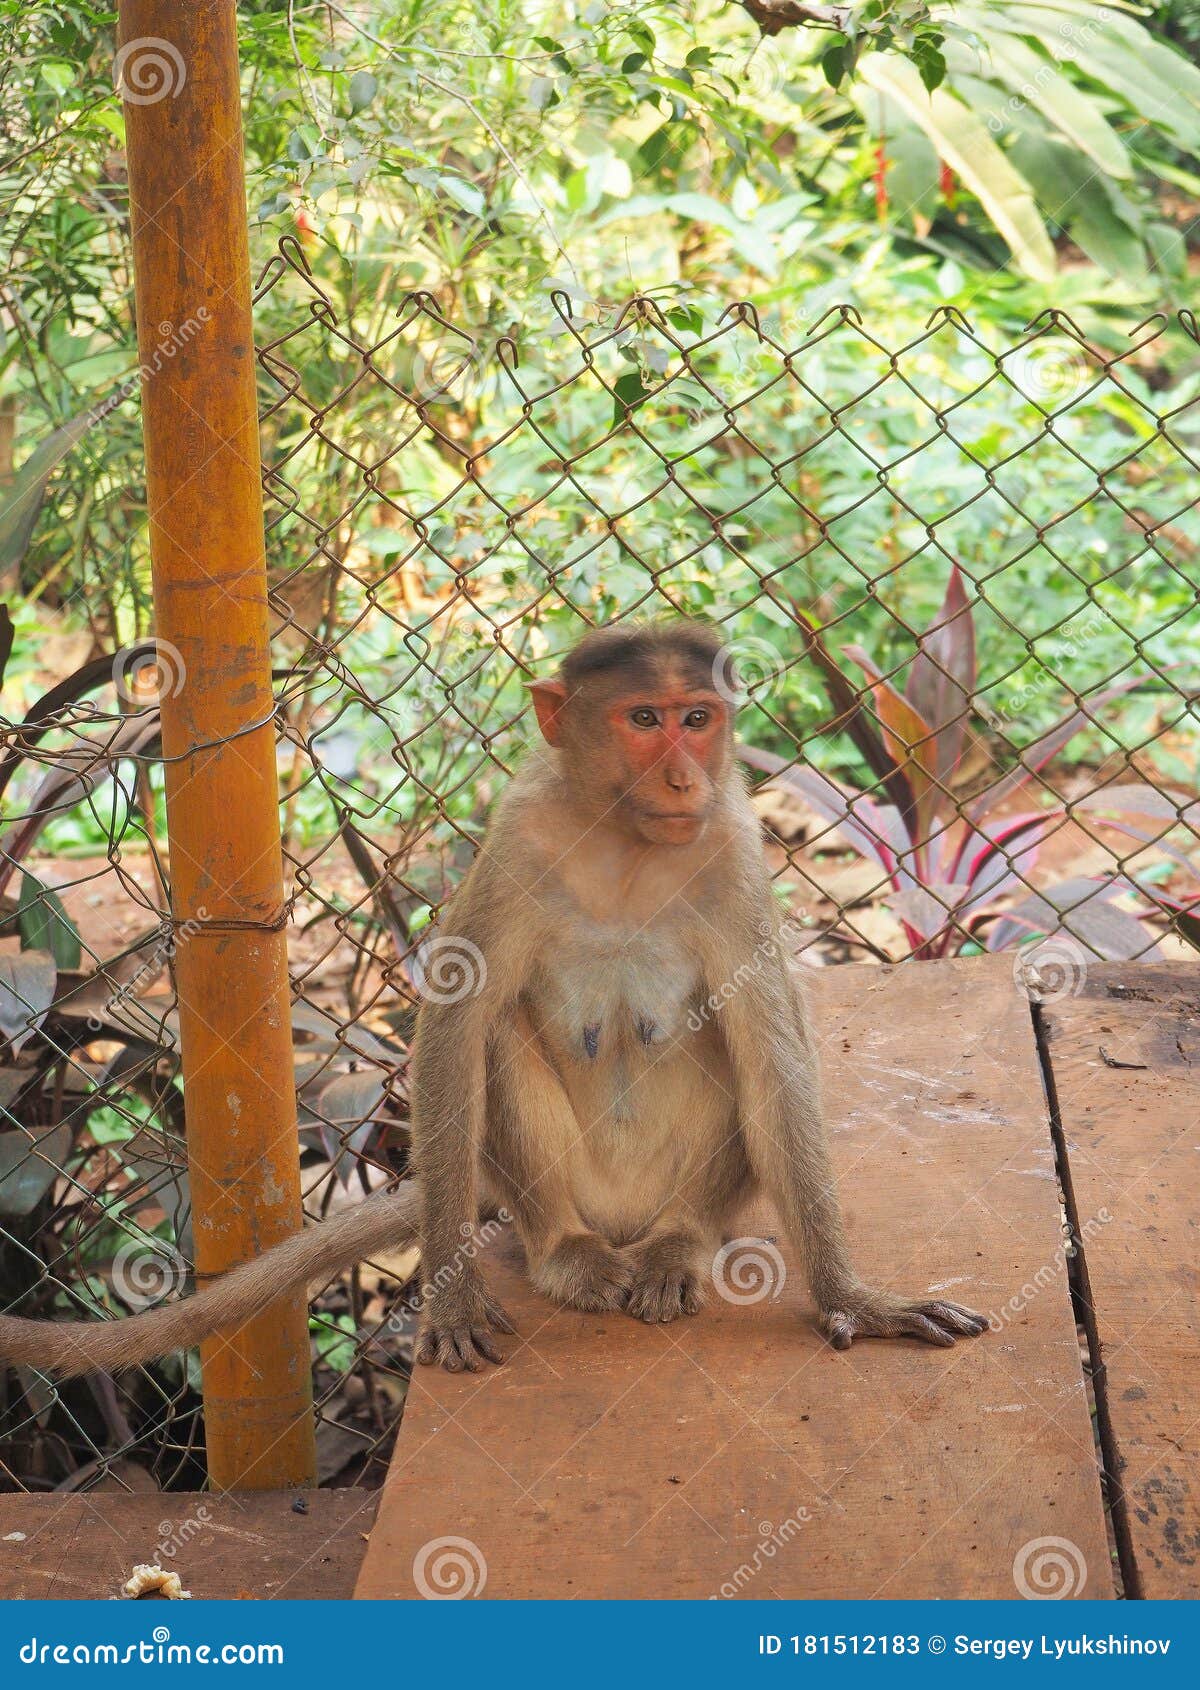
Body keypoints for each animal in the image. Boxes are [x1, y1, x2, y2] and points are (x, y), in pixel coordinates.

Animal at [0, 618, 986, 1383]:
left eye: (698, 720)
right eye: (644, 720)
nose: (683, 779)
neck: (624, 841)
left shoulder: (735, 854)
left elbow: (773, 1051)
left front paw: (854, 1298)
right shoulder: (517, 839)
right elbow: (455, 1025)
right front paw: (452, 1299)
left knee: (731, 1059)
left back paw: (679, 1241)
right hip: (551, 1194)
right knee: (499, 1047)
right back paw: (567, 1256)